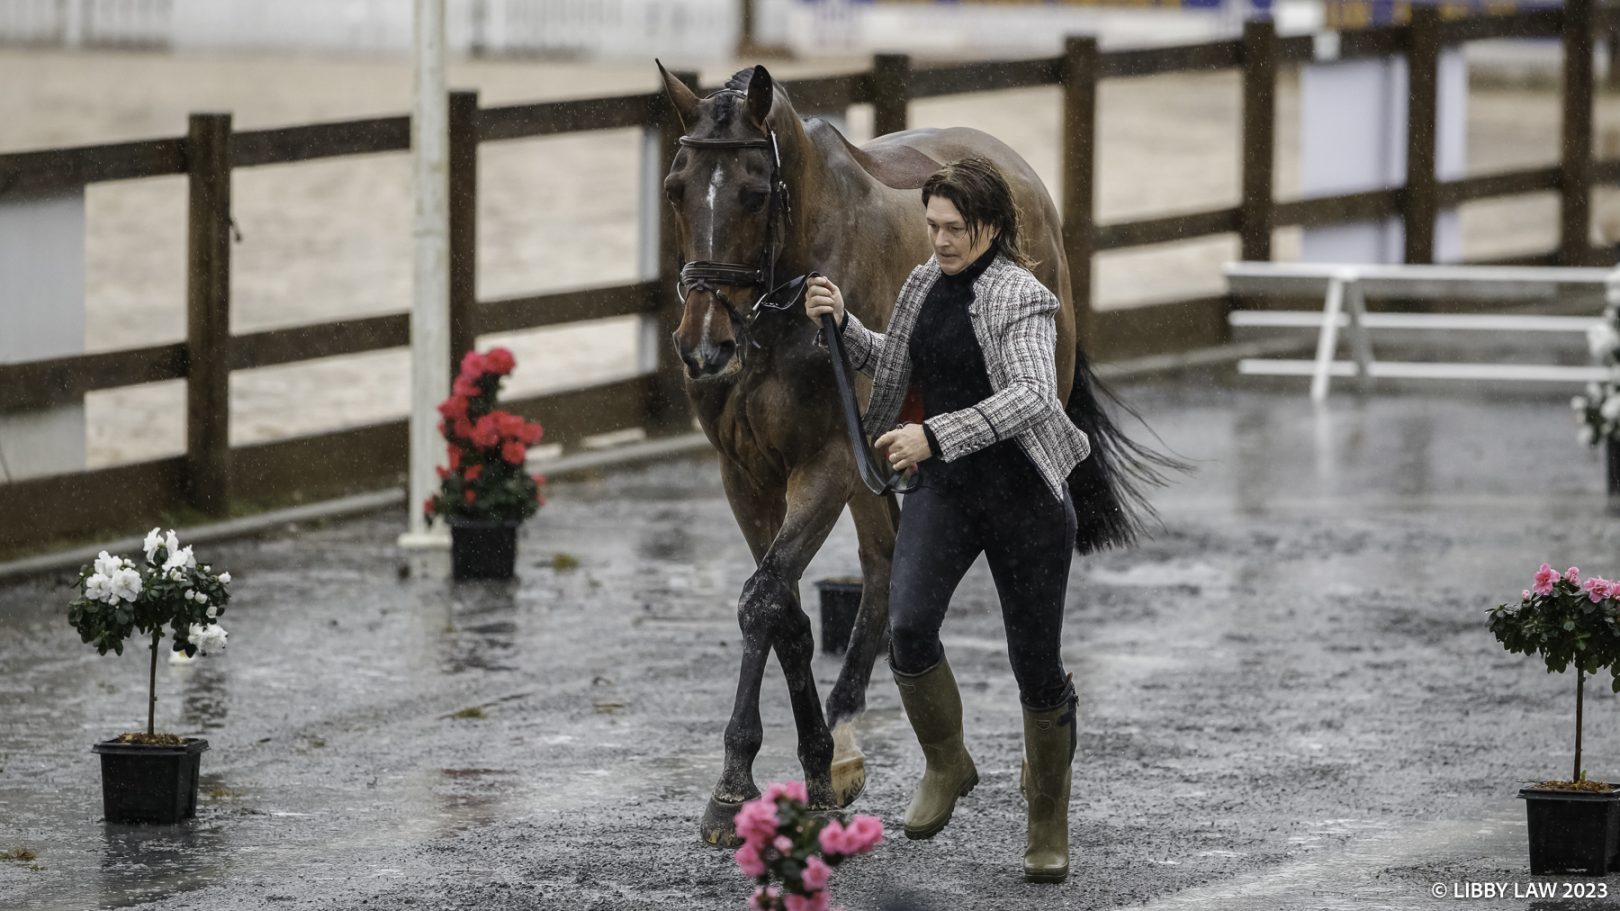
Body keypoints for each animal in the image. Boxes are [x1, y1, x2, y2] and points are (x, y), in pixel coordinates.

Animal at [656, 62, 1181, 847]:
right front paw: (813, 770)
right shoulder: (747, 475)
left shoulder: (830, 461)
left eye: (753, 192)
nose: (702, 348)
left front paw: (731, 787)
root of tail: (1014, 169)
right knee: (882, 570)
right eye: (675, 188)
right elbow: (784, 614)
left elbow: (764, 599)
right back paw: (844, 746)